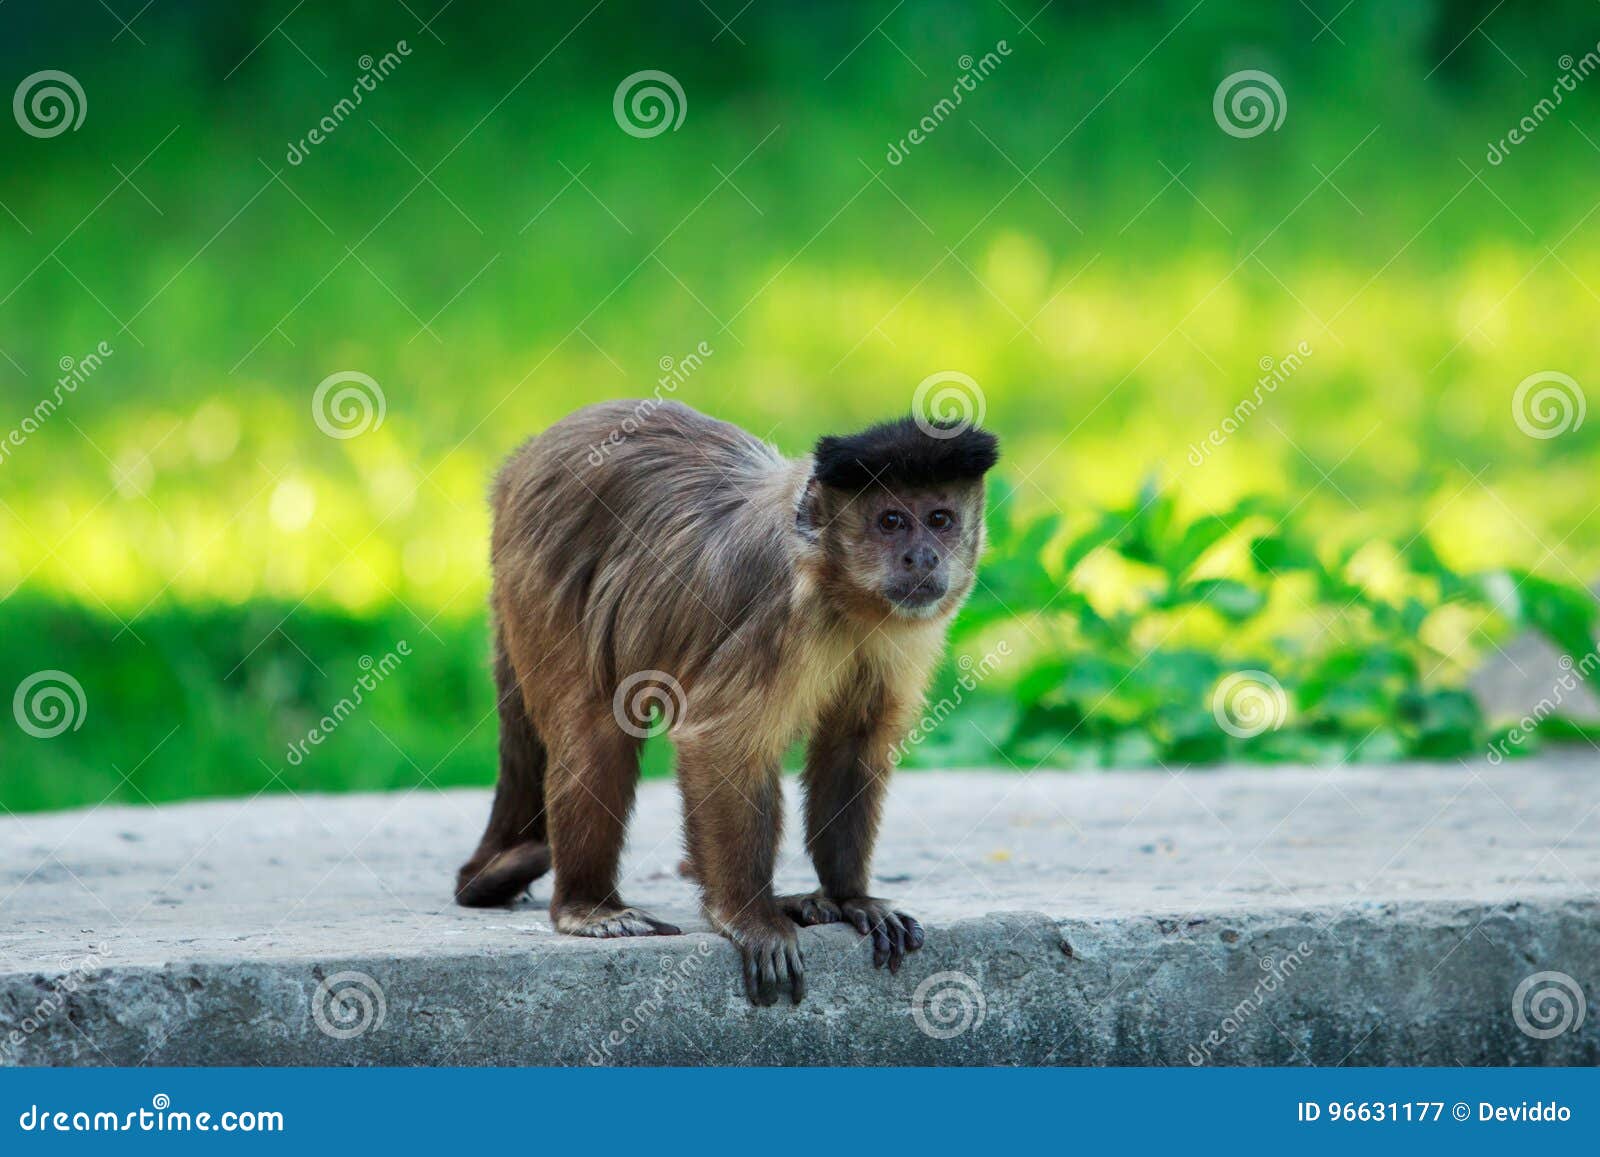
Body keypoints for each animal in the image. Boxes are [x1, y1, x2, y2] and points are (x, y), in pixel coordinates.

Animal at [454, 400, 998, 1006]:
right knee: (596, 725)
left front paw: (847, 897)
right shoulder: (779, 616)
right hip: (538, 564)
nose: (922, 557)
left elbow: (853, 744)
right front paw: (749, 918)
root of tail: (518, 464)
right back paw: (588, 907)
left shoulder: (904, 633)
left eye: (940, 519)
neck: (836, 588)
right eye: (891, 522)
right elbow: (719, 745)